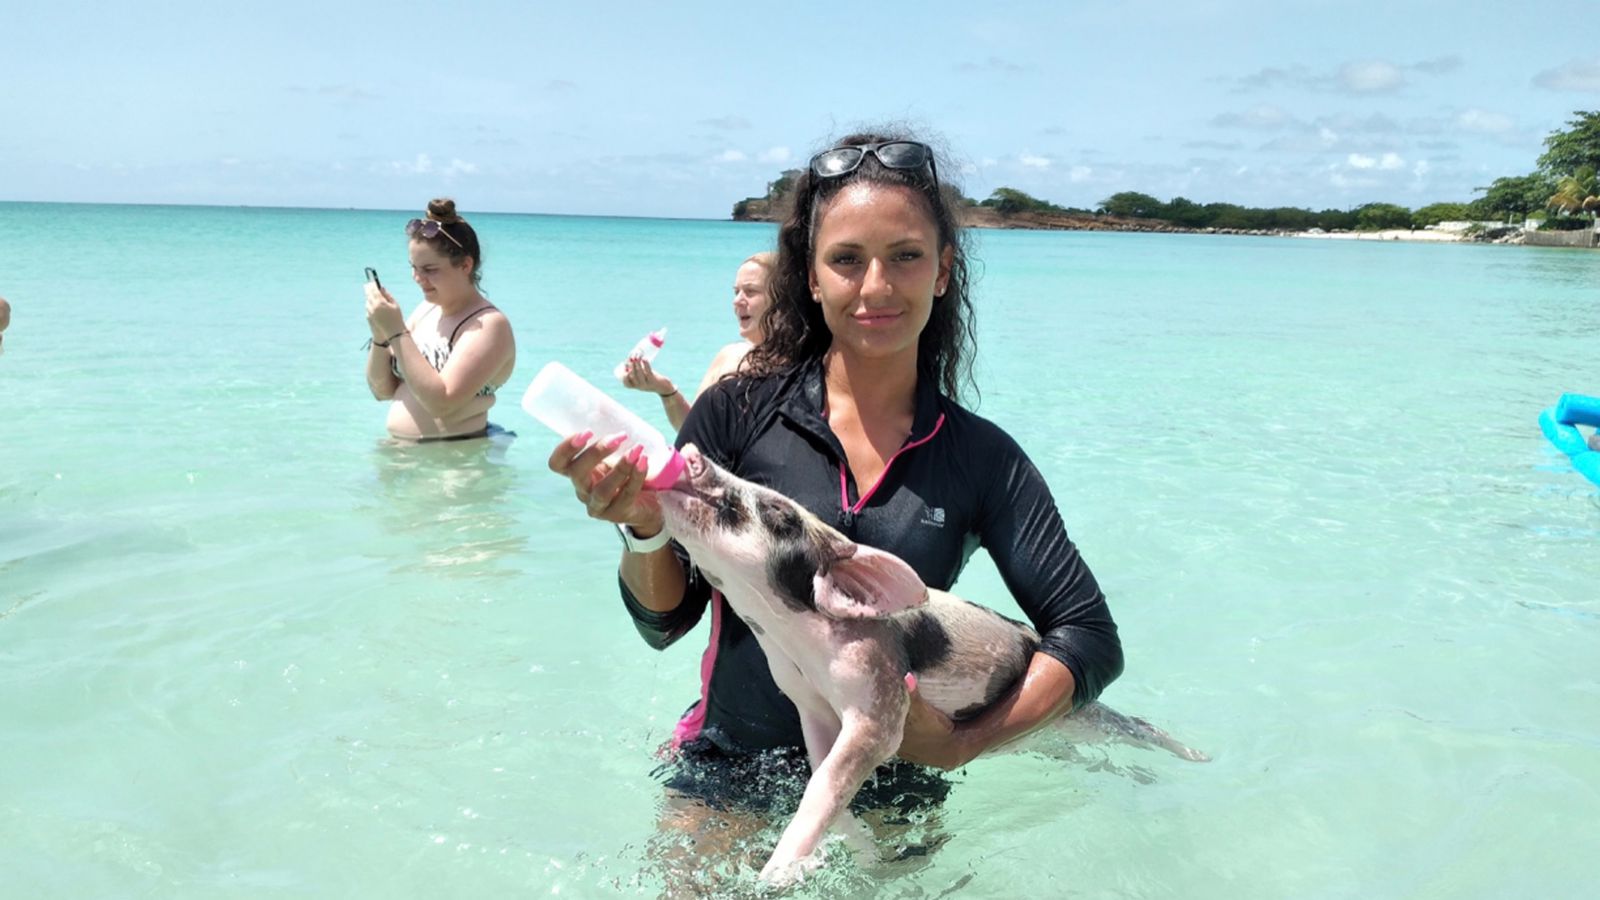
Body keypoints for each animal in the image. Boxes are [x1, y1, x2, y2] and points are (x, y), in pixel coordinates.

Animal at [653, 444, 1206, 886]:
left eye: (777, 512)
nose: (691, 450)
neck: (793, 639)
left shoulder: (880, 689)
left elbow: (828, 781)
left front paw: (773, 876)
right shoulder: (809, 701)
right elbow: (822, 773)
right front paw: (861, 854)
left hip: (1094, 717)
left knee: (1137, 728)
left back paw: (1197, 760)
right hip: (1058, 739)